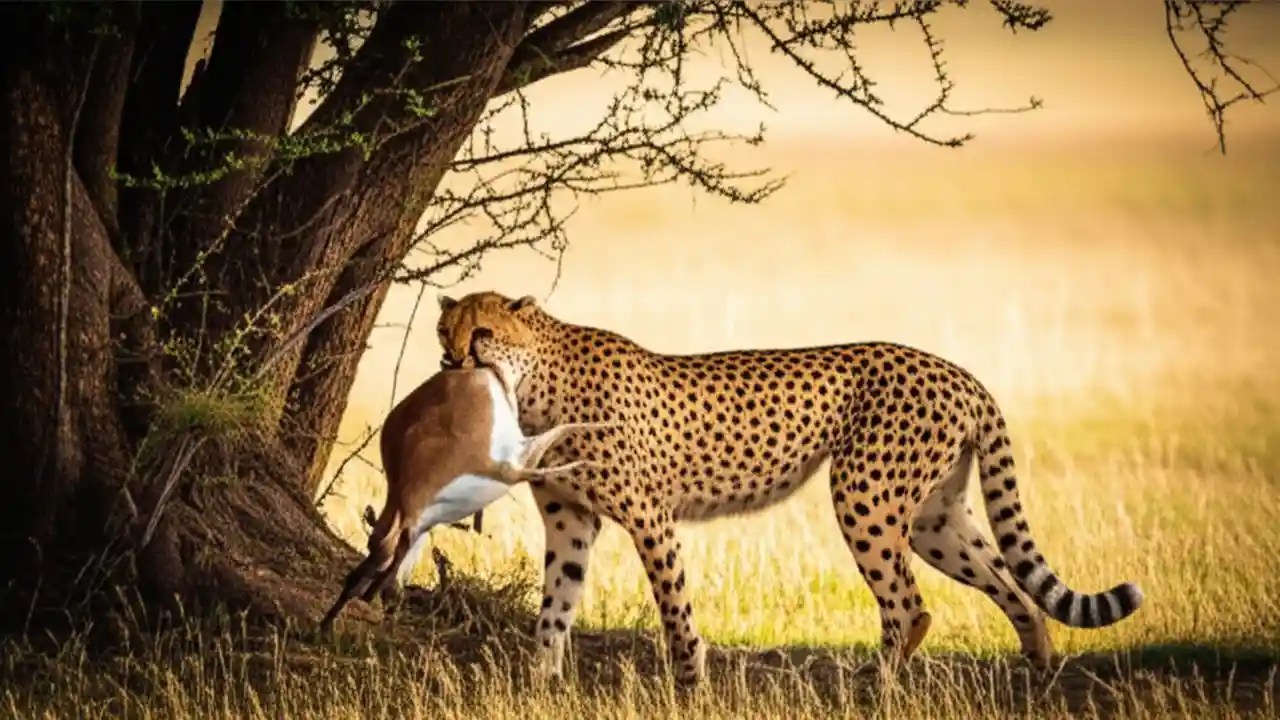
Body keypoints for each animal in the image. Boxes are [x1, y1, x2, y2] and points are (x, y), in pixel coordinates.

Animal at [435, 291, 1144, 684]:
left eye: (485, 333)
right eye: (446, 331)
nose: (451, 361)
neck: (536, 380)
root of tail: (953, 369)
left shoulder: (649, 516)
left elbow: (673, 604)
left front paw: (689, 680)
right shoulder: (570, 520)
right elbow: (554, 606)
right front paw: (541, 682)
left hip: (865, 495)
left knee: (909, 604)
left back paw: (874, 686)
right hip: (933, 518)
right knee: (1013, 586)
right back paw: (1039, 670)